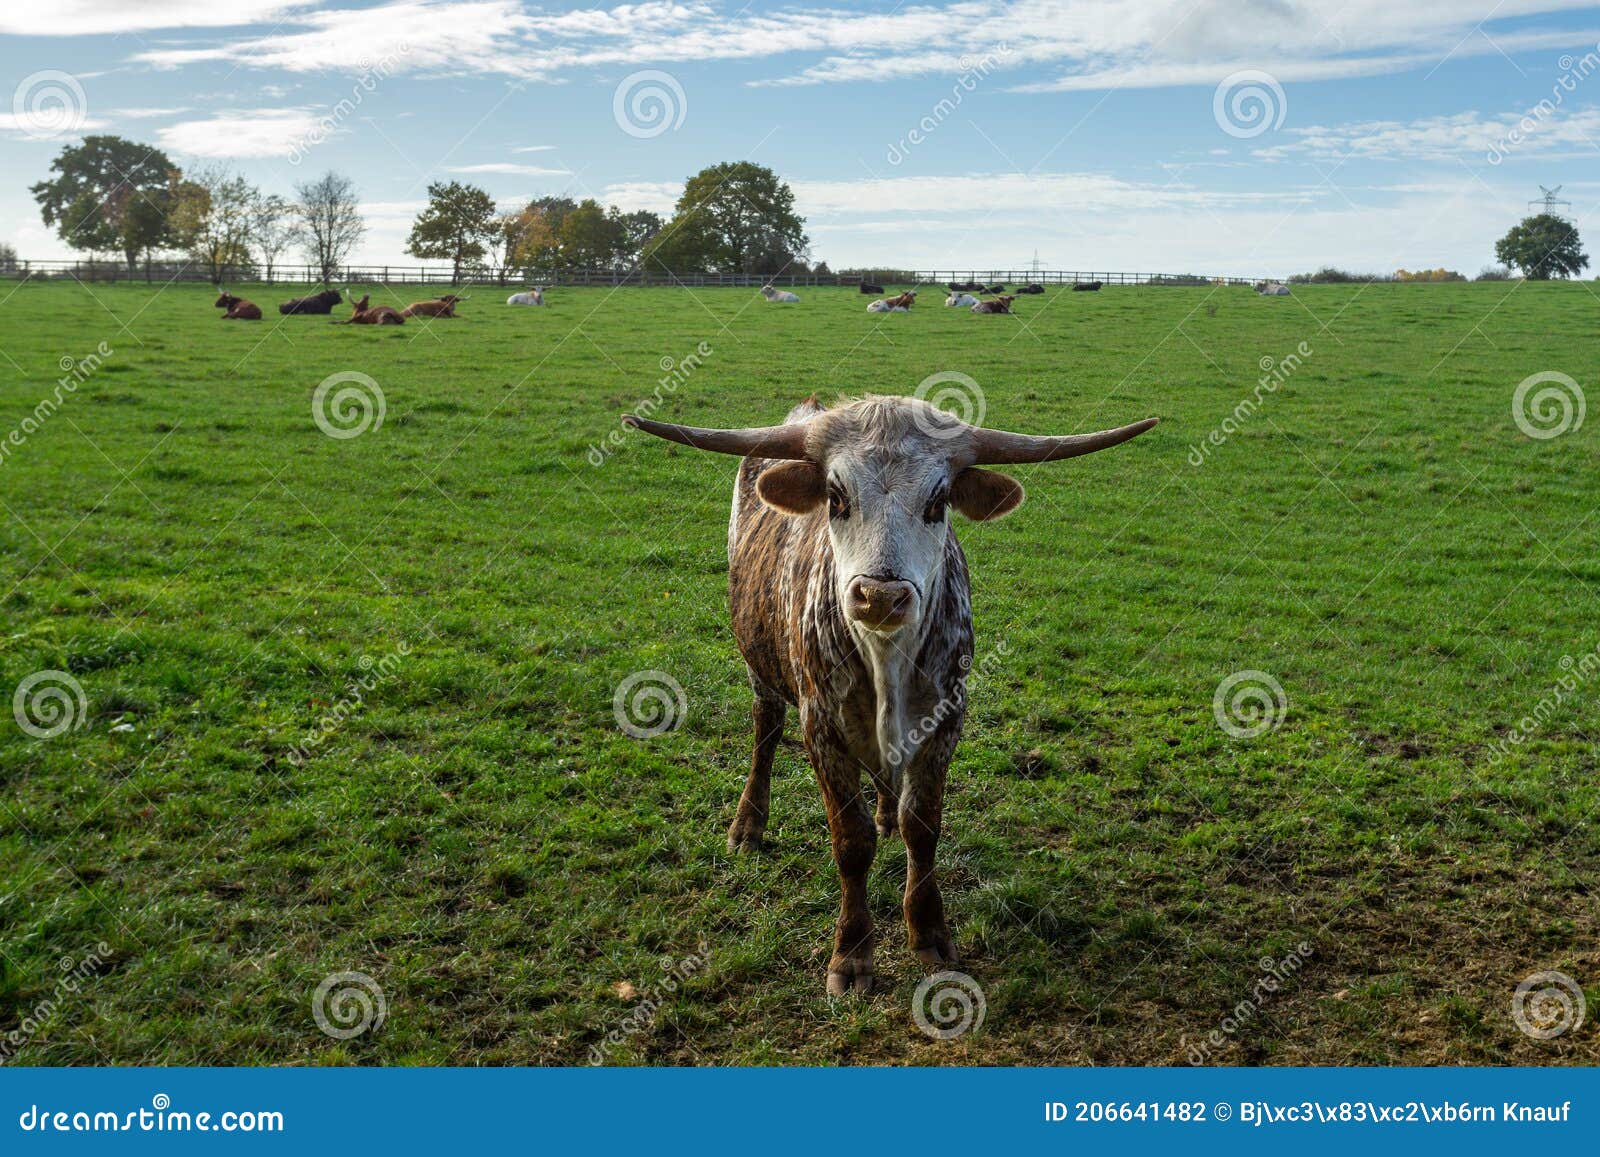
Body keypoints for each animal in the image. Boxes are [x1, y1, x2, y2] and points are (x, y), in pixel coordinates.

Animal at [622, 396, 1157, 993]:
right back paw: (748, 825)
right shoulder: (821, 726)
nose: (880, 596)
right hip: (759, 665)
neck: (886, 660)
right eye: (835, 496)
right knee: (765, 731)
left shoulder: (946, 720)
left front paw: (928, 932)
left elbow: (921, 825)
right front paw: (852, 954)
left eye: (939, 500)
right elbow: (851, 841)